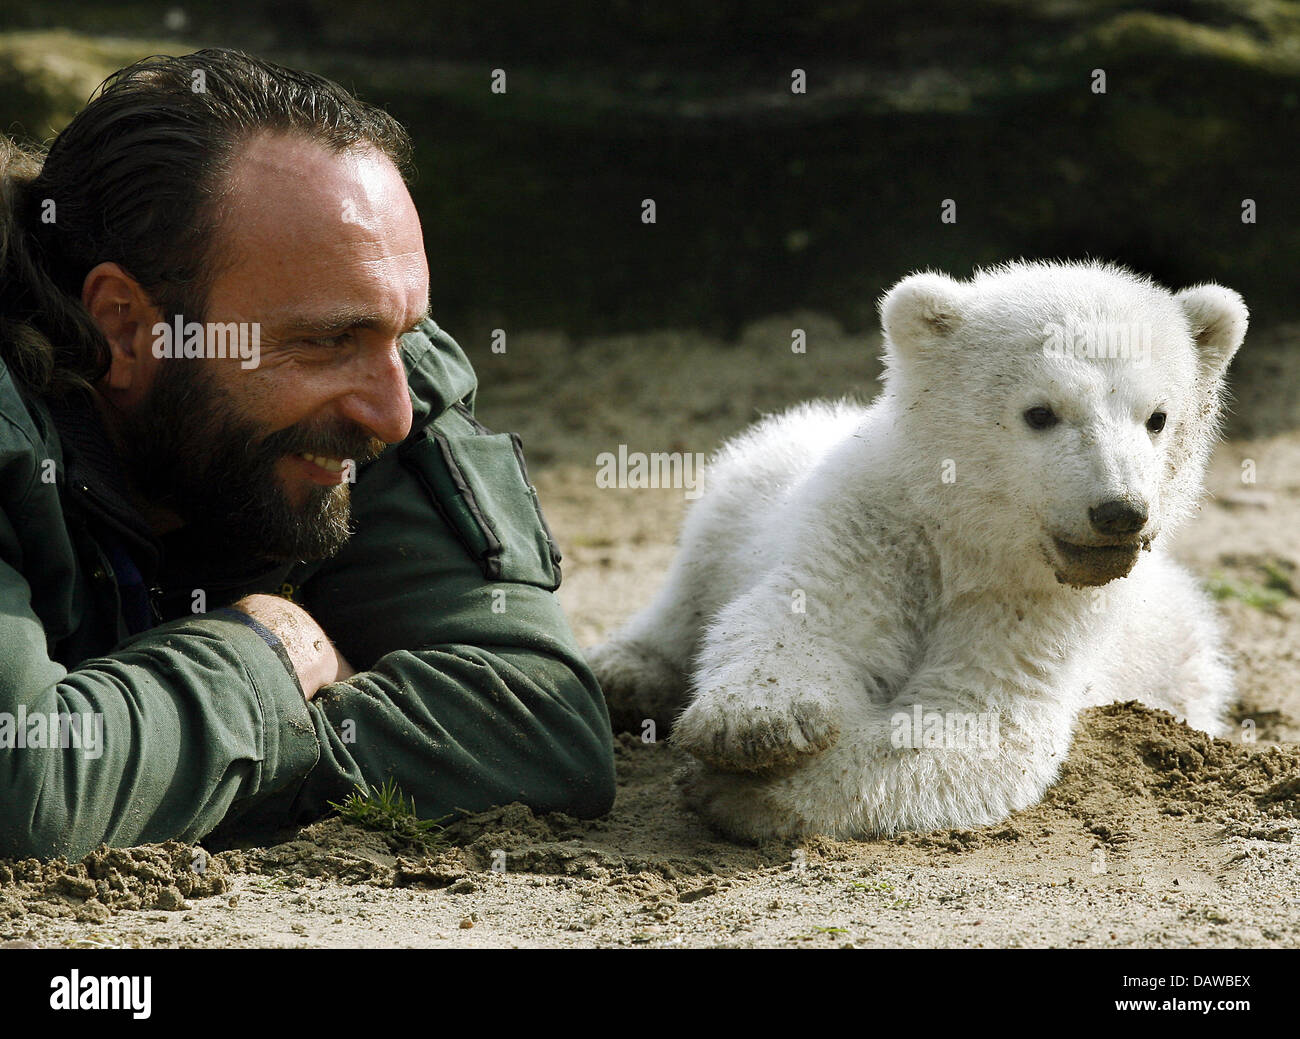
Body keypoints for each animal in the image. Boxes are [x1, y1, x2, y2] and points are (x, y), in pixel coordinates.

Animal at [586, 260, 1248, 841]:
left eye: (1158, 418)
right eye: (1040, 412)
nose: (1119, 512)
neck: (964, 537)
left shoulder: (1035, 607)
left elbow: (975, 721)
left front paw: (746, 791)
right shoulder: (873, 525)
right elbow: (808, 613)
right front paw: (756, 724)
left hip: (1184, 665)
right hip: (747, 485)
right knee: (690, 585)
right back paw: (624, 674)